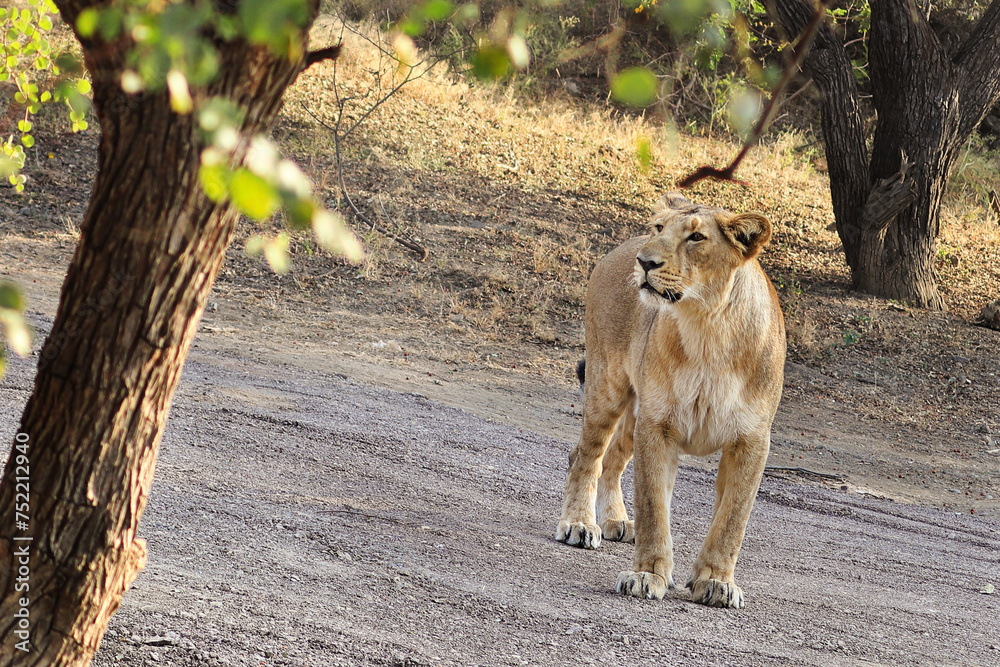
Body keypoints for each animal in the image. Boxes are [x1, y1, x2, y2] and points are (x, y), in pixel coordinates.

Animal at [555, 192, 785, 609]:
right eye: (659, 227)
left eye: (696, 237)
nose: (644, 262)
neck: (708, 328)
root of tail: (618, 249)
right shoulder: (657, 425)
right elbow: (653, 507)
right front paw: (647, 575)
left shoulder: (752, 440)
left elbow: (733, 518)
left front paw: (717, 582)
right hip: (607, 386)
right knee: (586, 455)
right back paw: (580, 524)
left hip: (635, 410)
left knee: (612, 461)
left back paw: (616, 521)